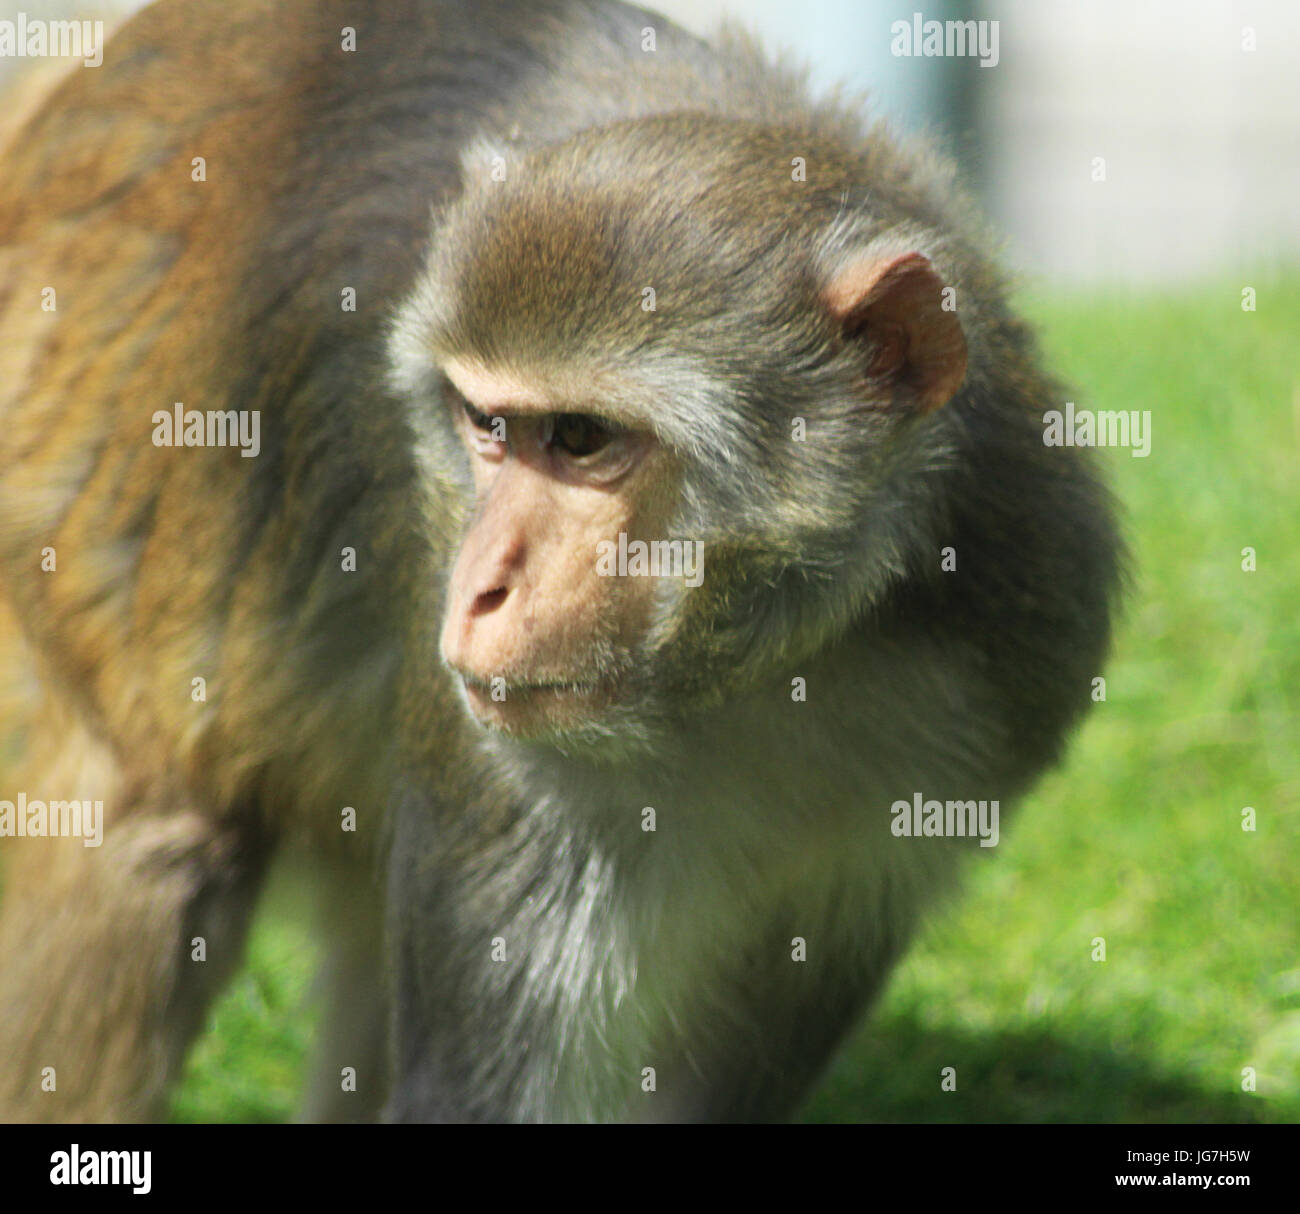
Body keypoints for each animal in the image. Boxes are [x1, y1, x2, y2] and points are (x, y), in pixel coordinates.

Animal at [0, 0, 1122, 1123]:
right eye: (488, 424)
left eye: (581, 438)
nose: (478, 590)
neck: (748, 675)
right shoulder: (499, 761)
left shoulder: (998, 667)